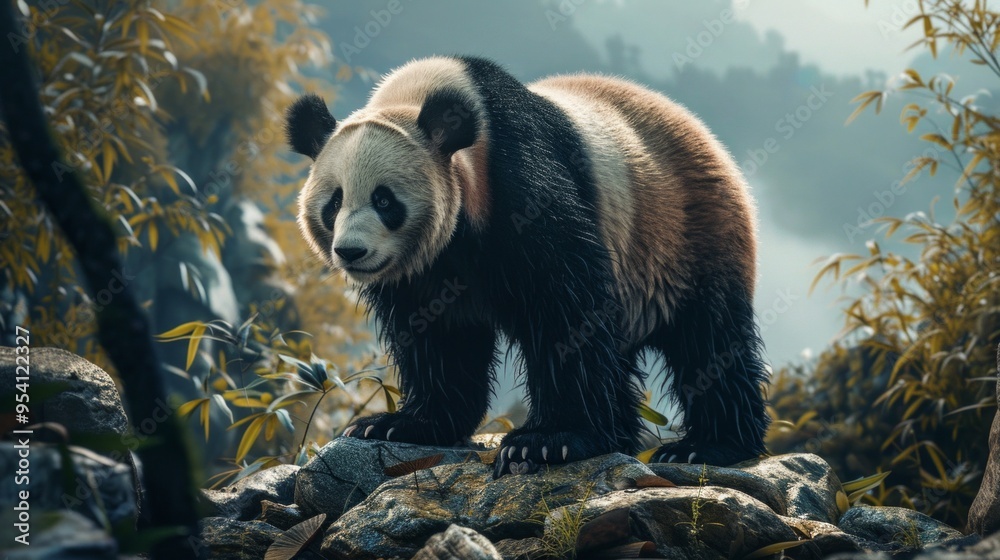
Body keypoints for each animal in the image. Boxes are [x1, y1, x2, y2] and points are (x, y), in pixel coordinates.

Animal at [285, 56, 770, 478]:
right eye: (334, 202)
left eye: (384, 200)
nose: (350, 251)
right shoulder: (424, 271)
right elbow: (437, 337)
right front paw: (397, 424)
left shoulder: (518, 182)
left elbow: (565, 311)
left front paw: (547, 441)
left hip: (689, 230)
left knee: (708, 341)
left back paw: (705, 445)